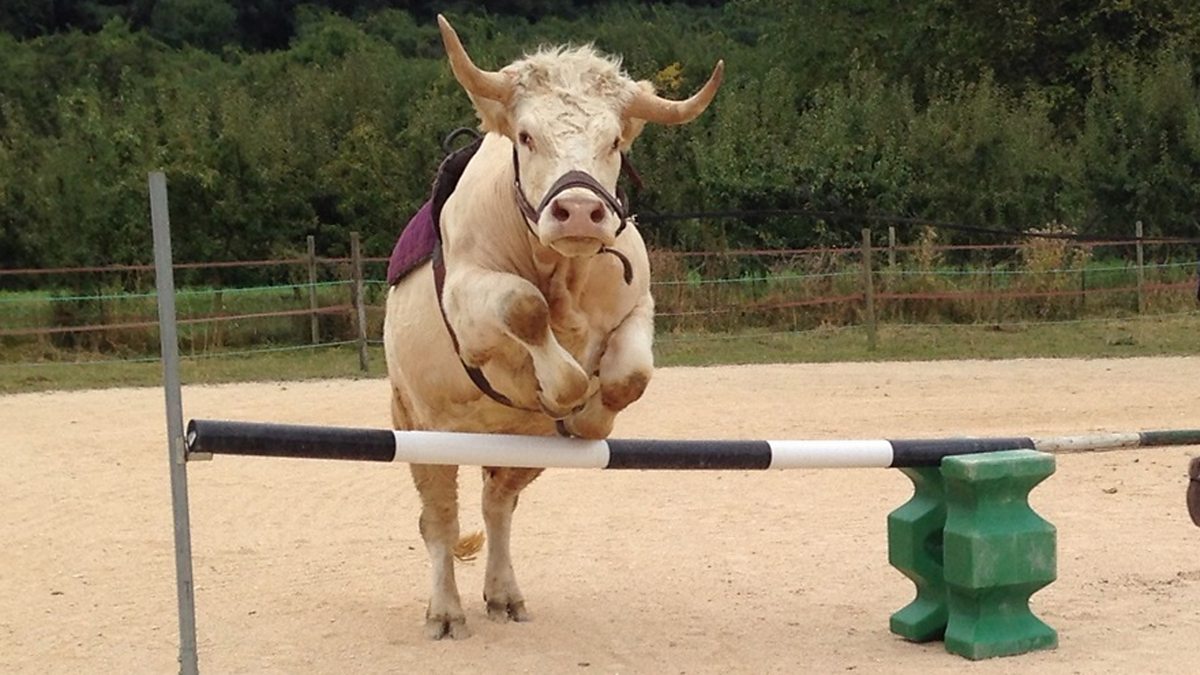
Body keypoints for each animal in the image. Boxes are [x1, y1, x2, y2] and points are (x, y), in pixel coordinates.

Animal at [383, 14, 723, 640]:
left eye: (614, 141)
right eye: (525, 137)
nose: (581, 213)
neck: (563, 272)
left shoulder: (638, 306)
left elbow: (631, 375)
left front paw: (591, 415)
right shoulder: (468, 300)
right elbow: (525, 308)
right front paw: (564, 388)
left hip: (524, 451)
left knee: (497, 505)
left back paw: (504, 594)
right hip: (418, 427)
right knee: (440, 520)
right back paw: (445, 611)